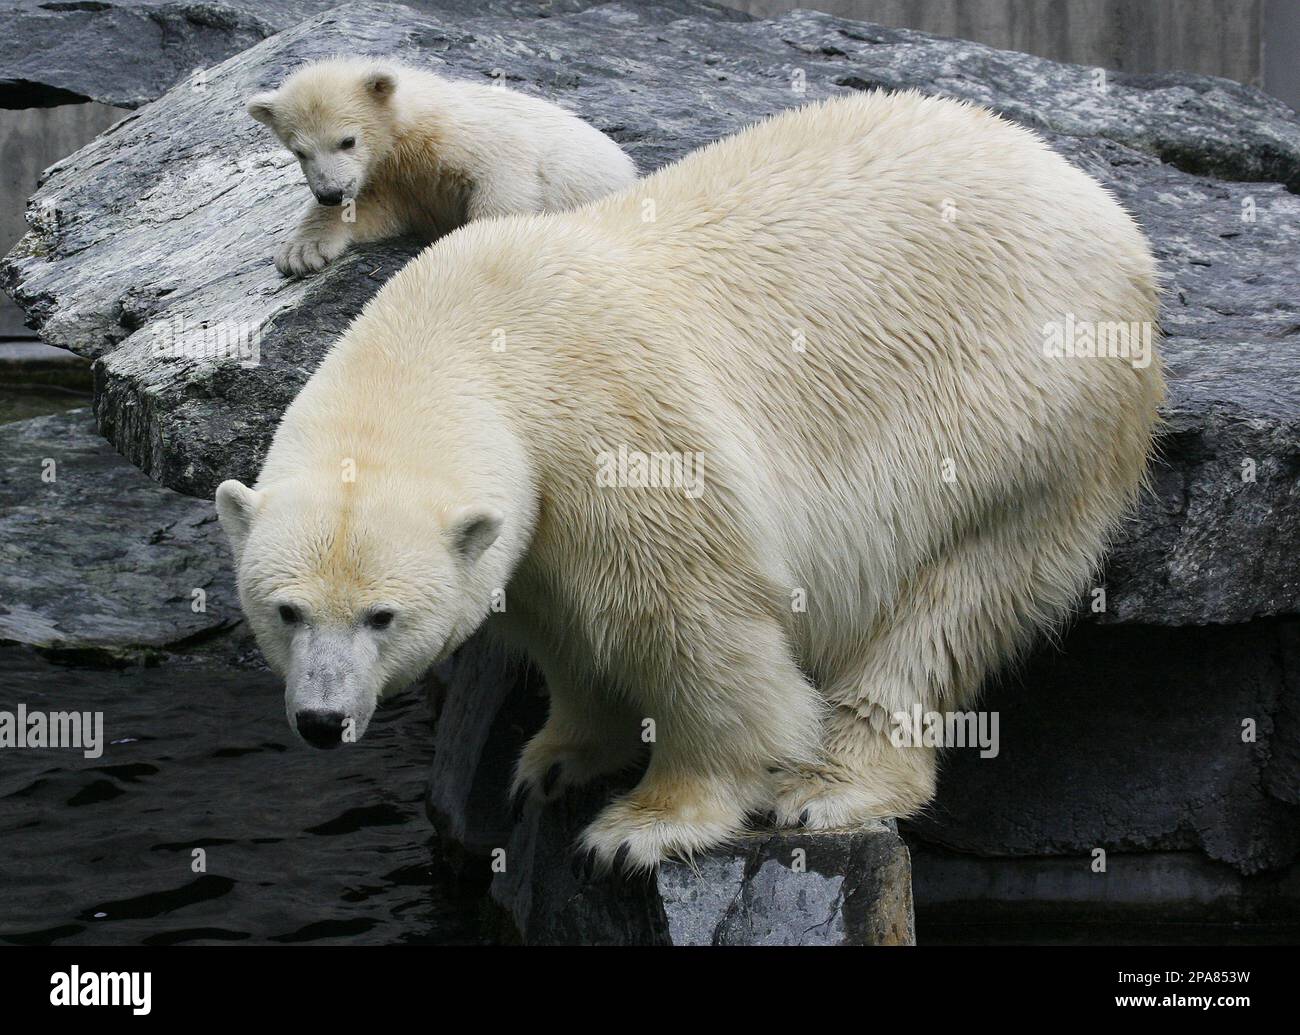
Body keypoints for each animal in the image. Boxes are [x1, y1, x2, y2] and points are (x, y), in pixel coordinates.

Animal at [216, 89, 1164, 872]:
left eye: (383, 616)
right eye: (286, 610)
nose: (322, 721)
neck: (475, 332)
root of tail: (1099, 206)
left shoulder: (616, 431)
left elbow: (690, 623)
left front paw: (647, 822)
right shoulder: (542, 507)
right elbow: (558, 619)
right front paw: (555, 759)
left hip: (1028, 414)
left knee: (959, 599)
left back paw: (832, 785)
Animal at [246, 57, 637, 277]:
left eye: (347, 141)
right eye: (299, 152)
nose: (330, 193)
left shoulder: (462, 136)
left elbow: (503, 173)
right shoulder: (394, 181)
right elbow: (374, 211)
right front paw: (301, 252)